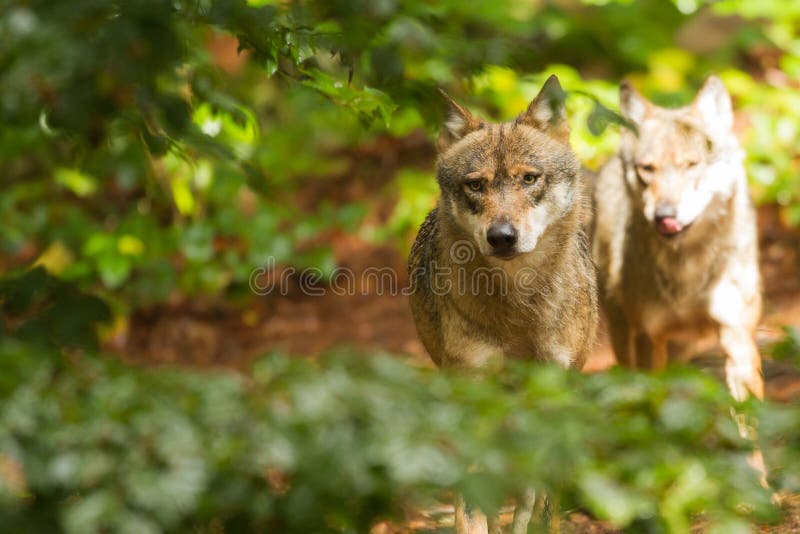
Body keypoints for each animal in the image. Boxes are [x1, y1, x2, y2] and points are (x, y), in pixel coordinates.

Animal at [408, 75, 598, 533]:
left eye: (529, 179)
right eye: (475, 185)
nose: (502, 236)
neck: (517, 309)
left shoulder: (551, 389)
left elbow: (541, 497)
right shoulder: (473, 389)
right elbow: (472, 499)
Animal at [592, 76, 763, 402]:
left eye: (691, 165)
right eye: (647, 169)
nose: (664, 215)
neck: (688, 266)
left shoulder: (737, 334)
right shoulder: (648, 336)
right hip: (625, 332)